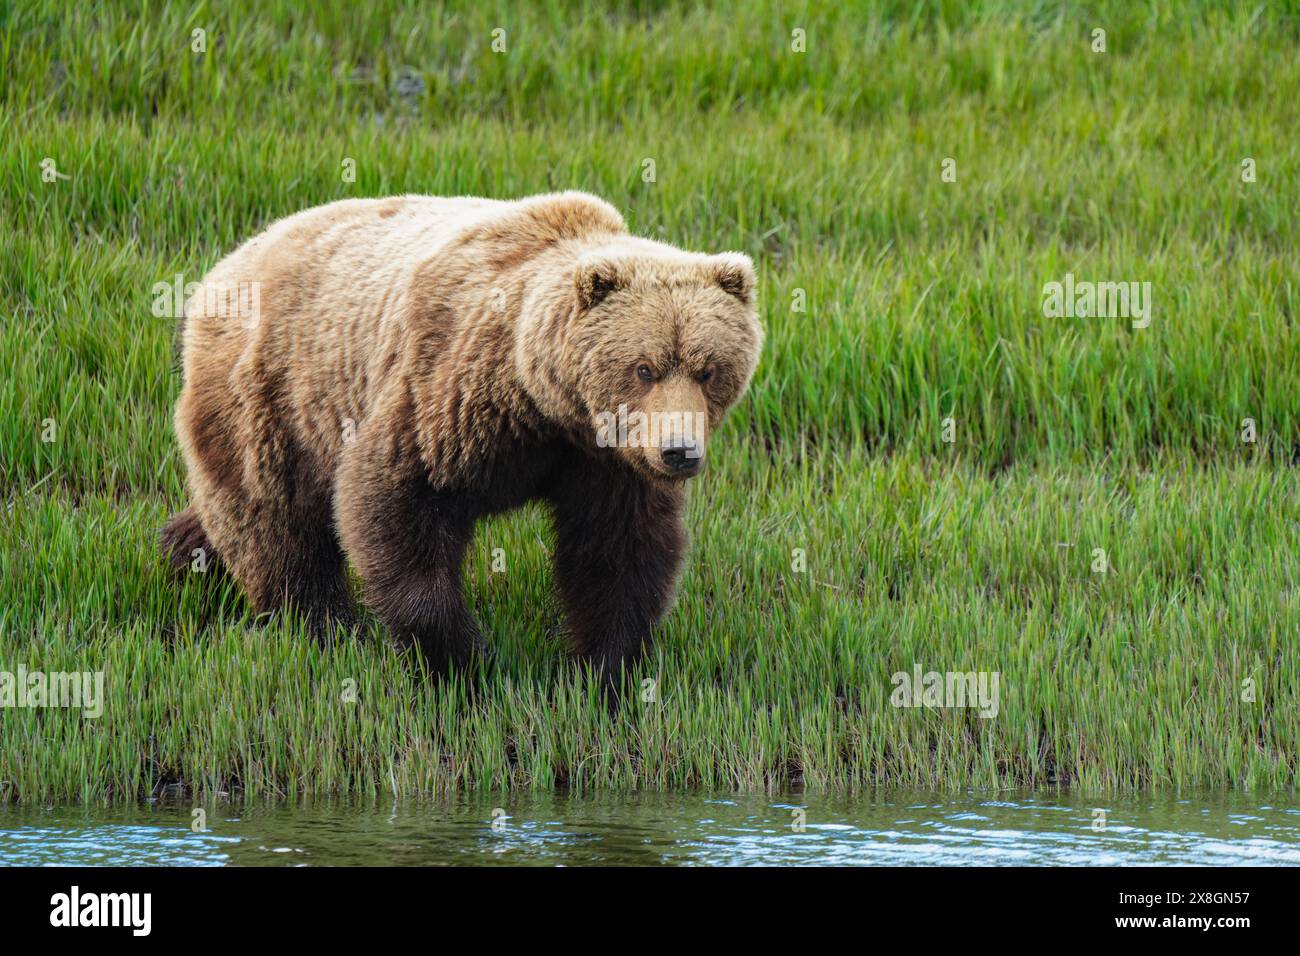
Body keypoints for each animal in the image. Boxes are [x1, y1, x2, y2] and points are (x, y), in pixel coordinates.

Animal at [161, 191, 763, 684]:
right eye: (644, 368)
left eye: (707, 369)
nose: (679, 451)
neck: (545, 404)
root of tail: (224, 267)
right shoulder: (448, 393)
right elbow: (395, 505)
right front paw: (462, 660)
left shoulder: (604, 459)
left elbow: (617, 548)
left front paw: (602, 666)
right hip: (274, 395)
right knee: (272, 517)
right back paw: (323, 624)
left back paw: (183, 549)